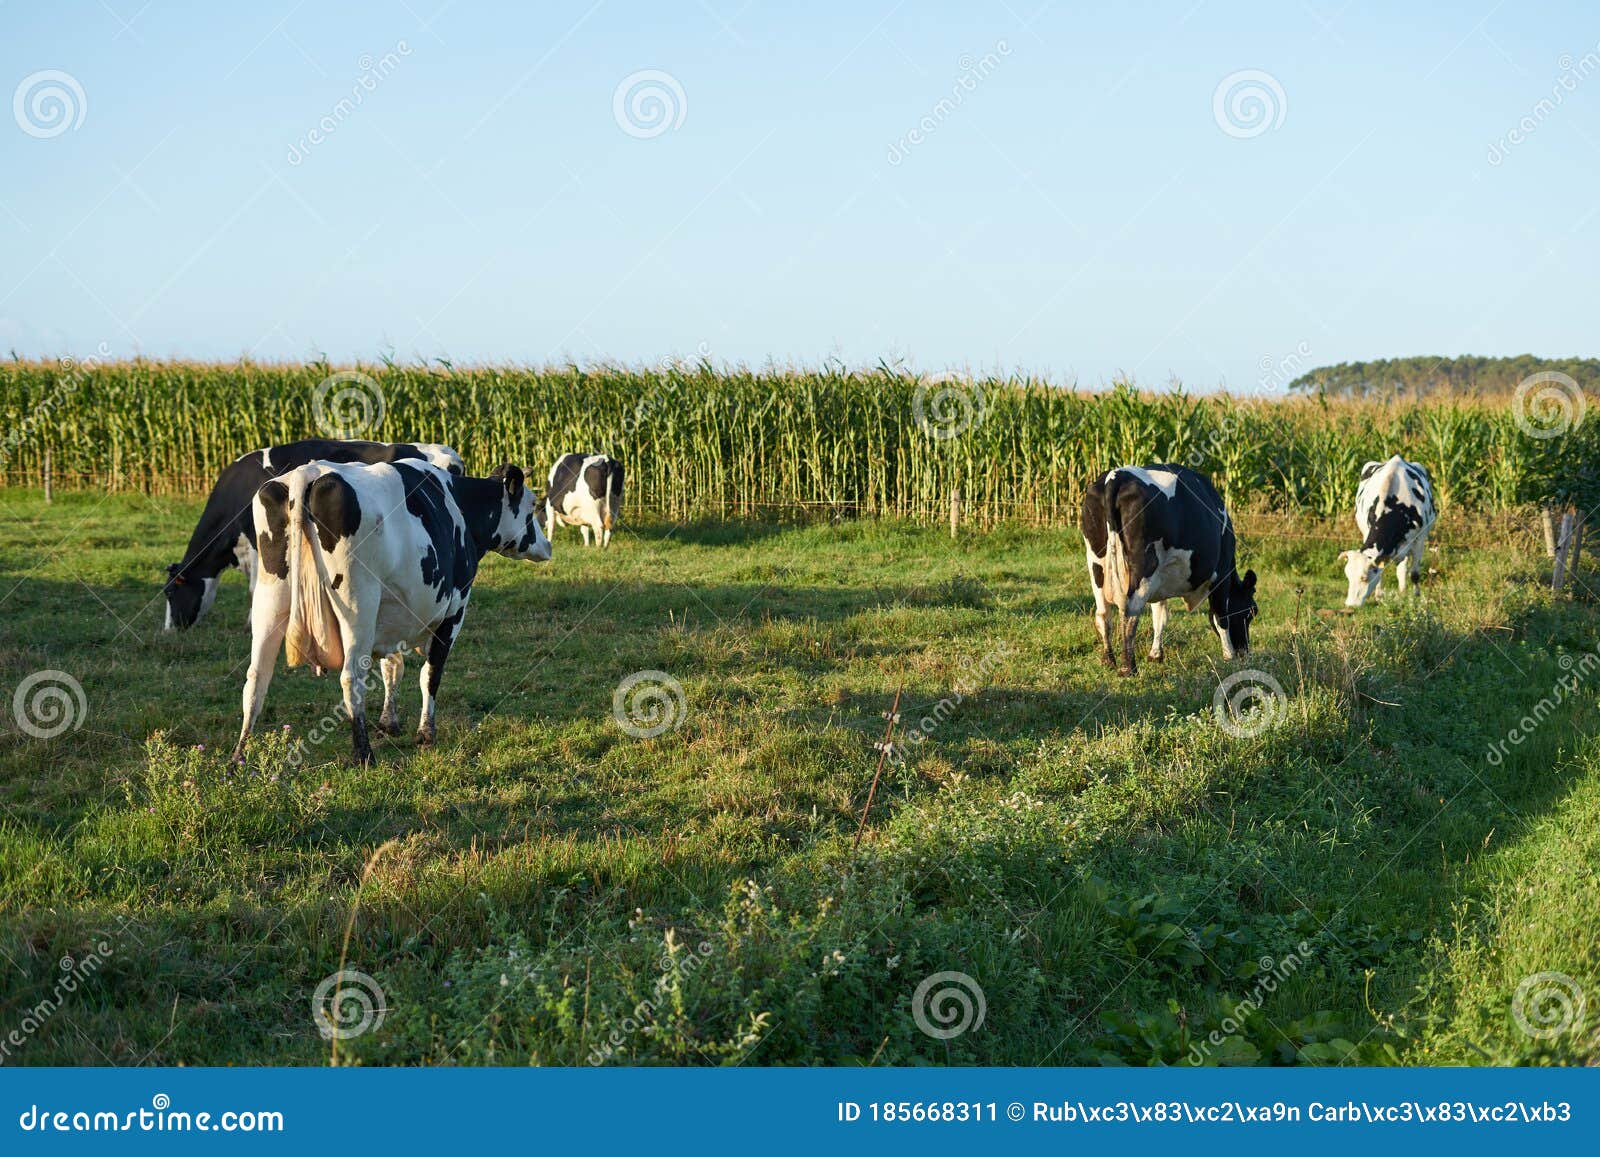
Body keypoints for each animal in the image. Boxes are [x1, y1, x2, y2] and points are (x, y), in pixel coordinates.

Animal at [232, 457, 553, 764]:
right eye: (532, 506)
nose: (548, 545)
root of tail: (309, 472)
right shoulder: (455, 610)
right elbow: (430, 674)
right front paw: (426, 733)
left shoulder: (392, 614)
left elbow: (391, 669)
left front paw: (388, 722)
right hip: (358, 604)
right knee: (351, 677)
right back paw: (363, 755)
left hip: (269, 600)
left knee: (256, 680)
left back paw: (239, 758)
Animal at [1081, 464, 1254, 678]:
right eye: (1251, 611)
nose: (1244, 651)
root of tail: (1115, 476)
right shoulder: (1221, 574)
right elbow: (1221, 617)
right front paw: (1229, 656)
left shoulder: (1160, 577)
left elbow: (1160, 616)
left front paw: (1155, 655)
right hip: (1144, 567)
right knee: (1130, 613)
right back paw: (1128, 668)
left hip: (1096, 564)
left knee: (1103, 614)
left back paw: (1109, 661)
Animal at [1337, 457, 1440, 611]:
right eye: (1347, 576)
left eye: (1364, 578)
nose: (1350, 605)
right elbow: (1383, 570)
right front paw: (1378, 597)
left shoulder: (1419, 540)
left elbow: (1414, 574)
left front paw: (1416, 597)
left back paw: (1403, 592)